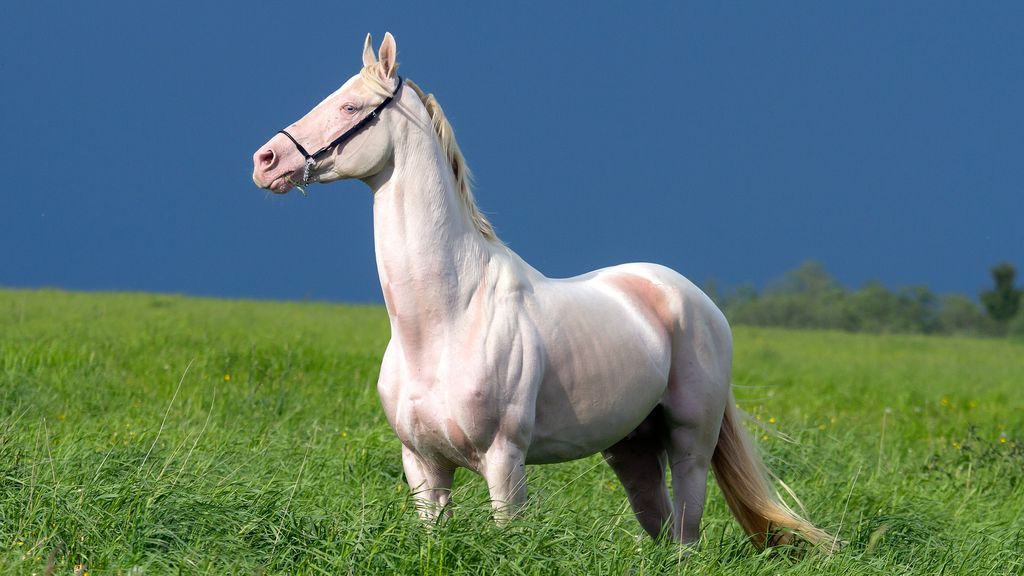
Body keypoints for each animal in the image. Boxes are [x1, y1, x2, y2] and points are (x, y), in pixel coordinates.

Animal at [252, 32, 834, 550]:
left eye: (350, 106)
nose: (266, 160)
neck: (446, 320)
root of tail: (695, 300)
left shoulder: (504, 462)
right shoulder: (423, 466)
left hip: (690, 443)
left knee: (687, 532)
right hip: (631, 451)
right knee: (664, 529)